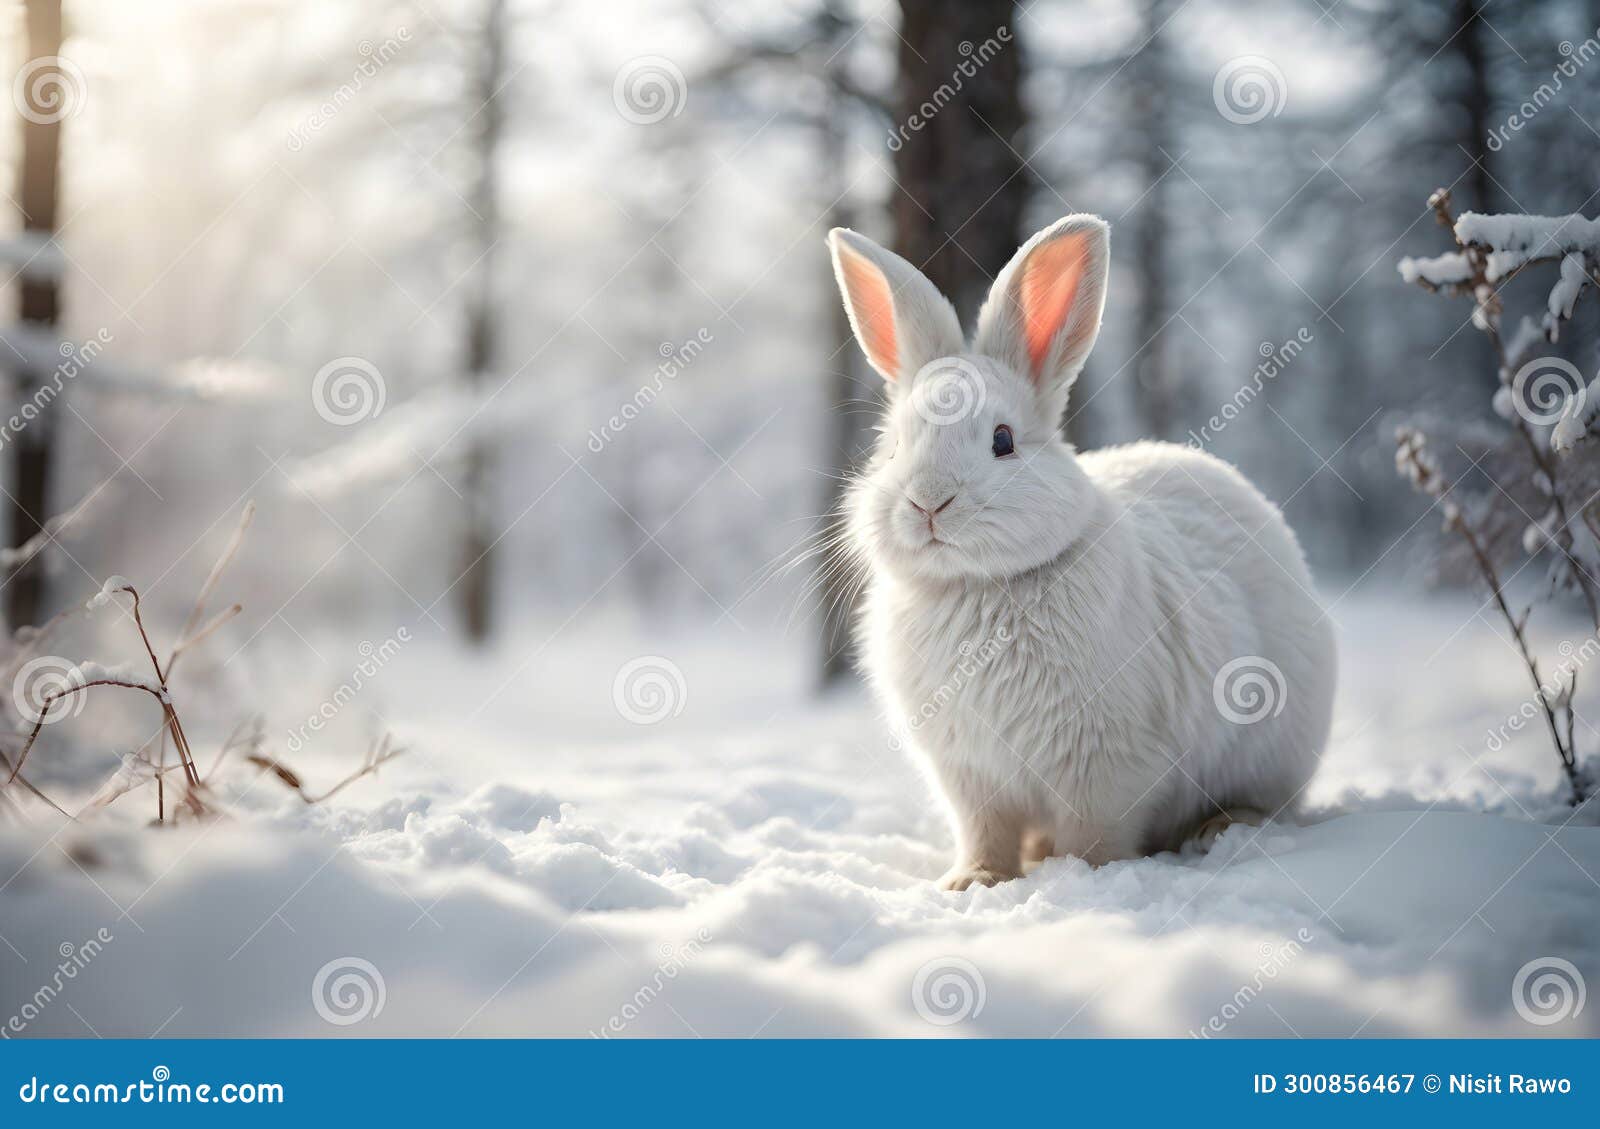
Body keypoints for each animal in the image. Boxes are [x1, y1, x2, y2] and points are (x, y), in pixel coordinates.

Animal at [826, 214, 1336, 890]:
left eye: (1003, 441)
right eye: (890, 448)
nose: (928, 503)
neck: (979, 585)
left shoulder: (1105, 765)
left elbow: (1097, 834)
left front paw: (1083, 879)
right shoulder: (969, 774)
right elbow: (984, 831)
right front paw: (973, 881)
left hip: (1274, 750)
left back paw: (1219, 828)